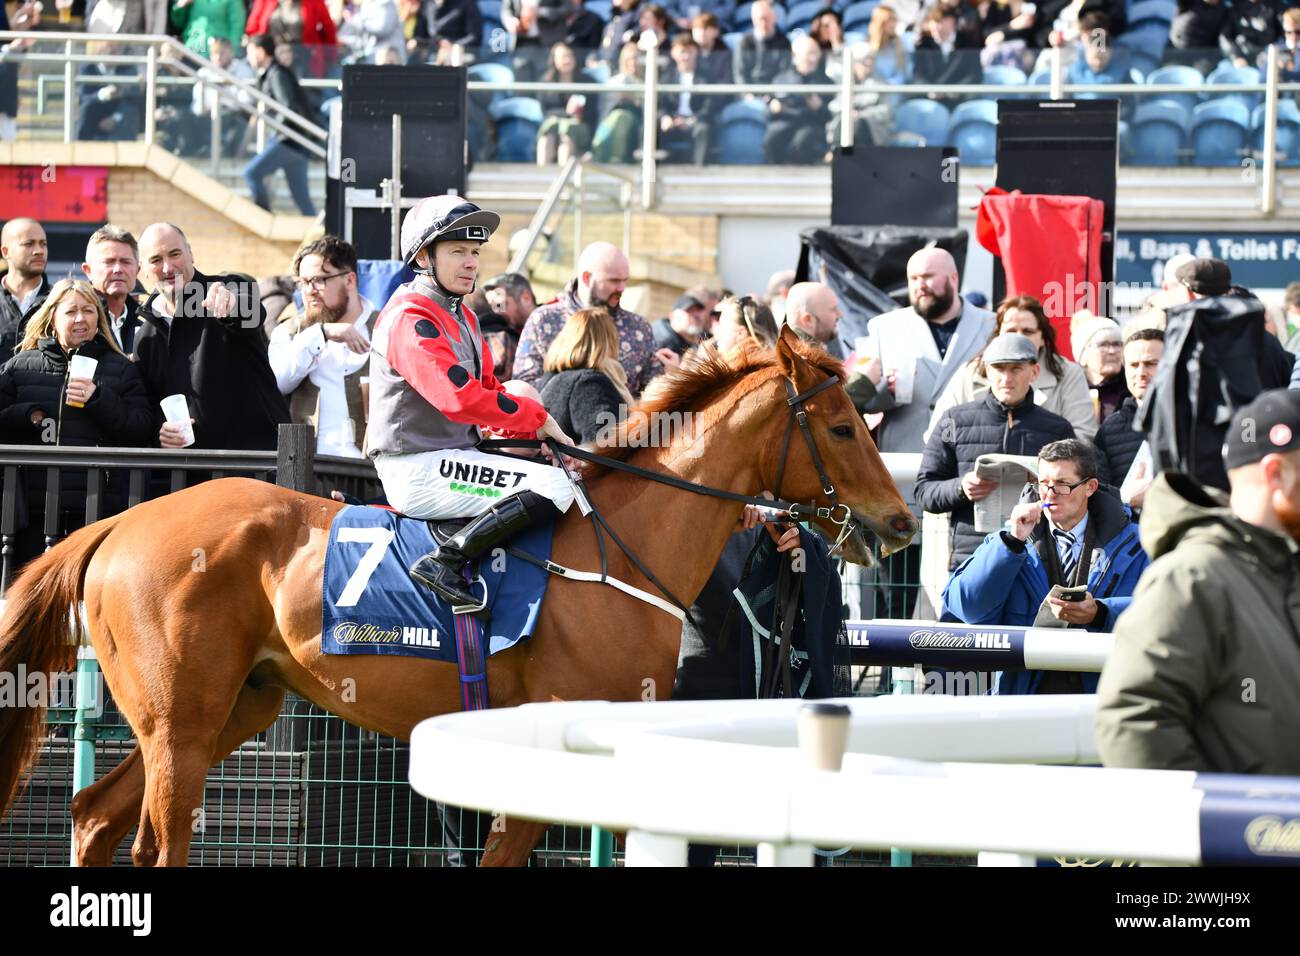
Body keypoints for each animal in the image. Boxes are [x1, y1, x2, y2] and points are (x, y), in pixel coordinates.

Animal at [0, 328, 917, 867]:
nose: (901, 521)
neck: (625, 541)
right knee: (154, 838)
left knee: (95, 814)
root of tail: (121, 525)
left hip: (233, 708)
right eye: (842, 426)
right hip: (181, 722)